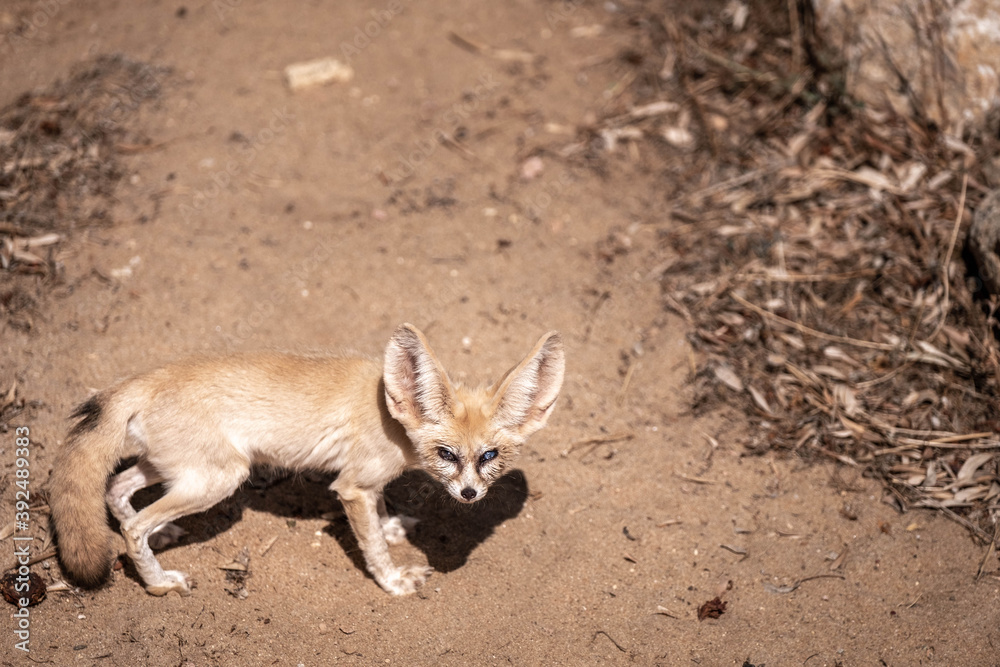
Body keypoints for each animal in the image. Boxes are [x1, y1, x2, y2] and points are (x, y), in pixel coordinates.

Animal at [48, 324, 564, 597]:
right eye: (446, 455)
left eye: (490, 456)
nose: (470, 494)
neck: (389, 414)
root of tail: (144, 378)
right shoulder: (352, 487)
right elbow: (372, 547)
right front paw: (393, 580)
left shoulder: (367, 484)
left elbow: (381, 514)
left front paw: (392, 527)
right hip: (219, 479)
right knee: (133, 527)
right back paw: (159, 582)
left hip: (175, 471)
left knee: (117, 491)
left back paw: (161, 537)